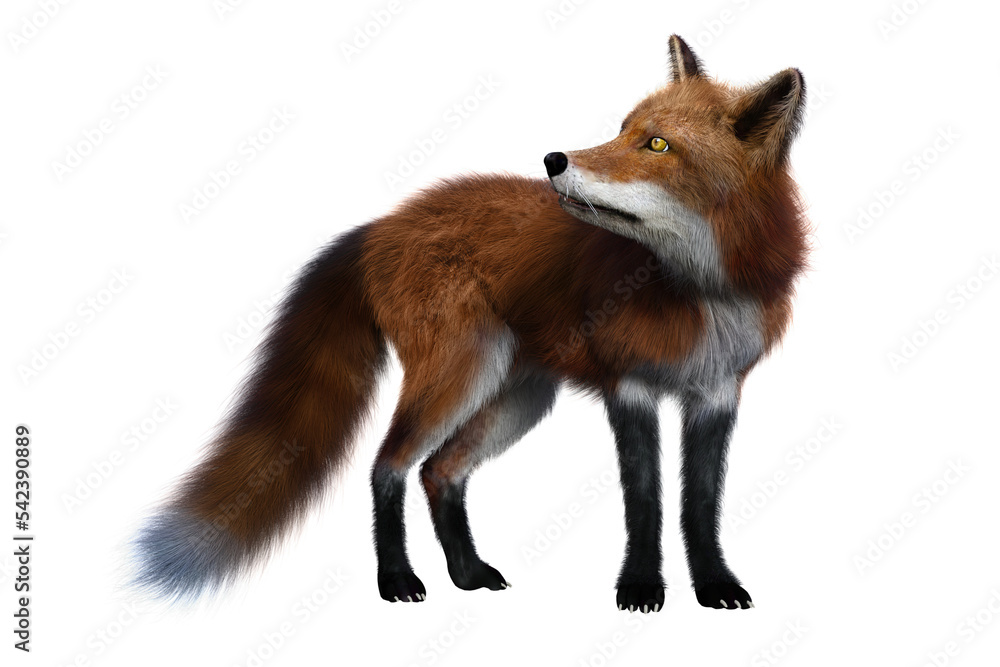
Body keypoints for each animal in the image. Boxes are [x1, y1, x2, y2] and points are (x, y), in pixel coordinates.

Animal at [131, 35, 808, 613]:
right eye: (622, 131)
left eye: (659, 145)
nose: (554, 158)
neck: (701, 293)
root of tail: (383, 223)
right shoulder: (630, 388)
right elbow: (643, 500)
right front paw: (640, 587)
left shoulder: (717, 395)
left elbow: (701, 504)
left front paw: (715, 586)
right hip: (459, 377)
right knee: (388, 466)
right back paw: (397, 579)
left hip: (516, 397)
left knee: (440, 472)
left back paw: (466, 573)